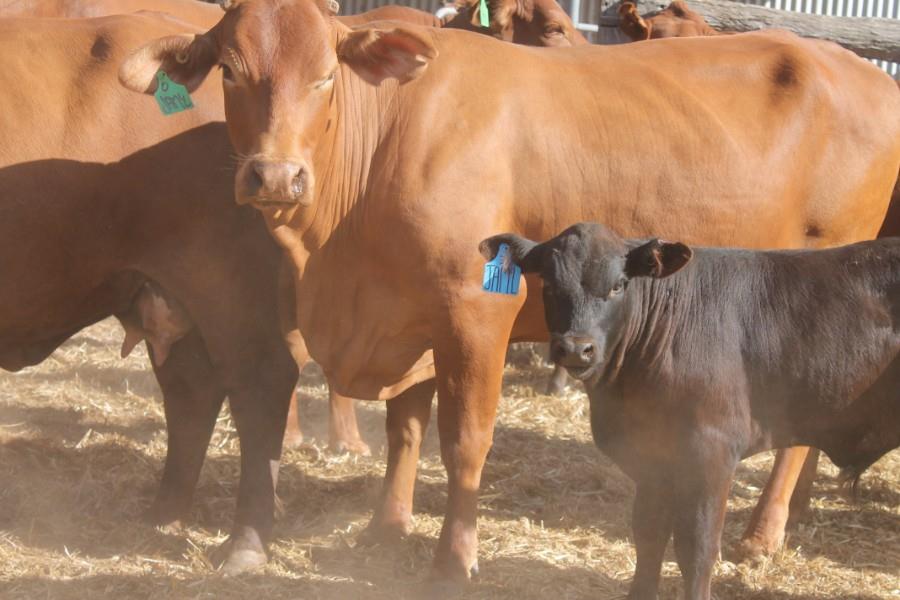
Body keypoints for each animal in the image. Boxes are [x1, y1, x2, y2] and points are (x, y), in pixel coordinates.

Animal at [481, 222, 900, 600]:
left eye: (618, 285)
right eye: (549, 285)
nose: (575, 349)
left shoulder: (710, 455)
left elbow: (696, 552)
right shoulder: (653, 459)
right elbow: (649, 540)